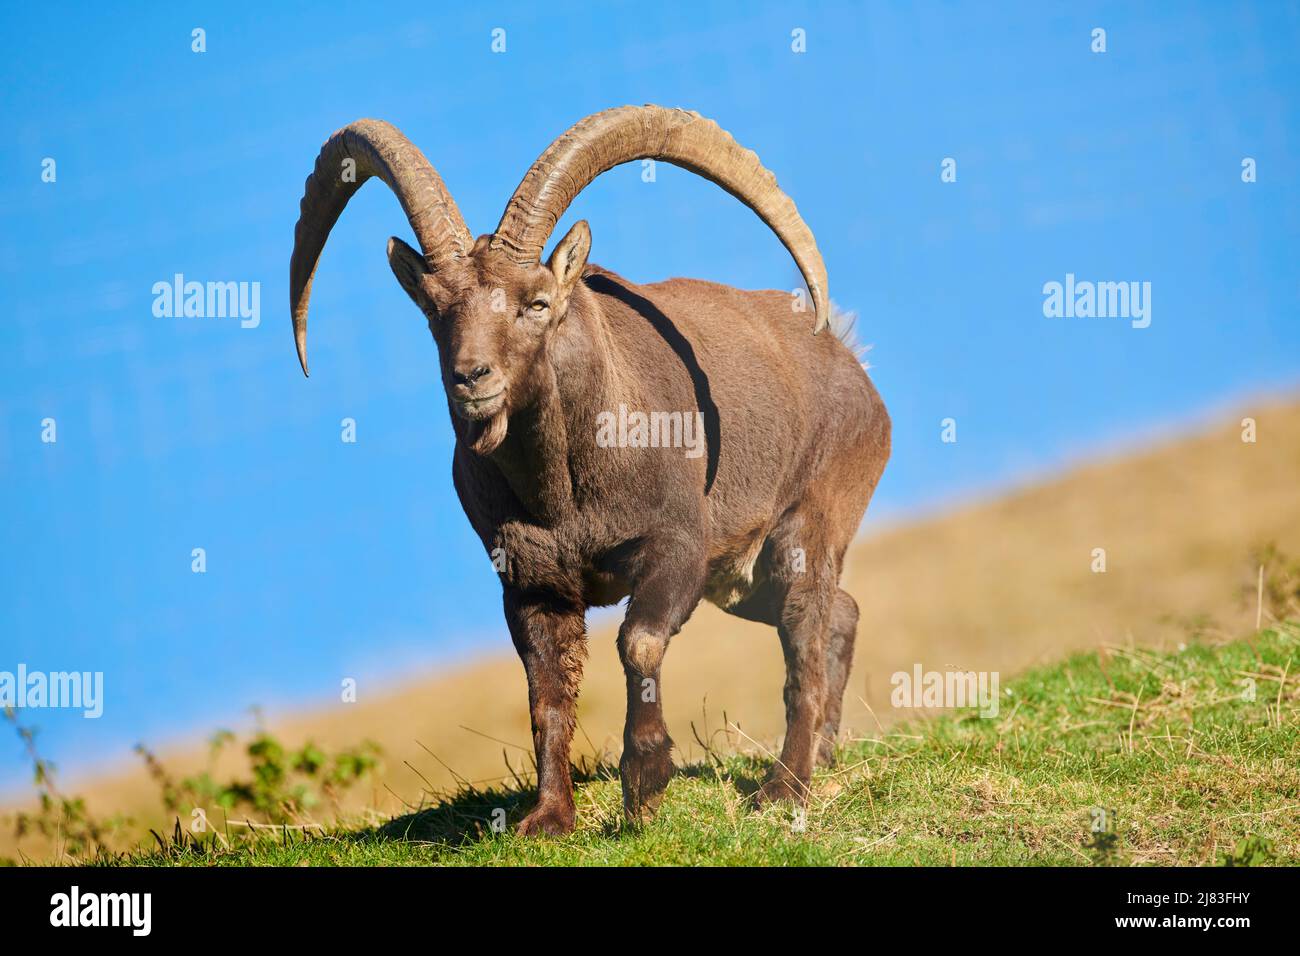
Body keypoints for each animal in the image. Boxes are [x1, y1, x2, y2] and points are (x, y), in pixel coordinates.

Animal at [289, 105, 891, 834]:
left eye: (536, 302)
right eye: (436, 310)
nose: (471, 378)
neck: (566, 492)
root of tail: (847, 357)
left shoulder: (676, 550)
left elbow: (639, 644)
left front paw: (646, 784)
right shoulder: (531, 585)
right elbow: (545, 695)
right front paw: (547, 818)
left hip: (805, 527)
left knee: (804, 640)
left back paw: (785, 789)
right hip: (738, 580)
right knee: (842, 612)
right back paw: (824, 757)